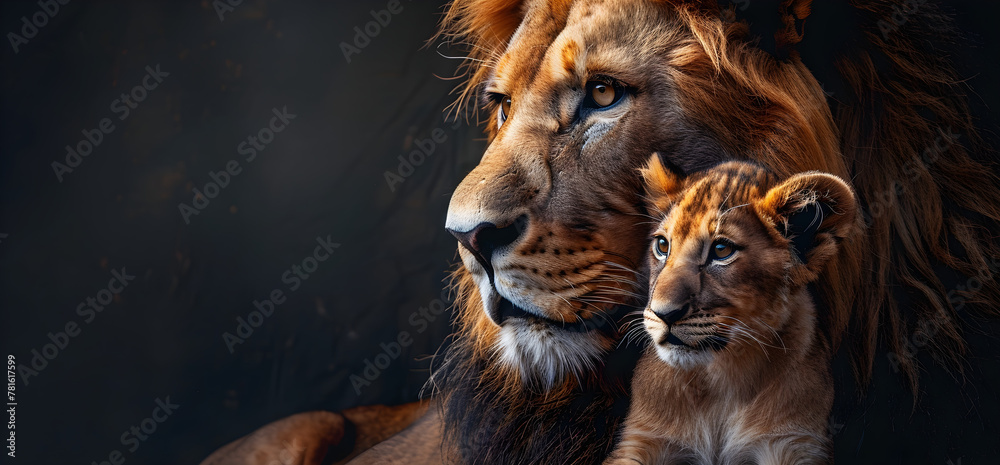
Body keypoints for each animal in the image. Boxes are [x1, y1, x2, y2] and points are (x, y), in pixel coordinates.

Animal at [605, 157, 860, 465]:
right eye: (662, 245)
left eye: (722, 250)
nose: (663, 314)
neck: (721, 383)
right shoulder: (644, 438)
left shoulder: (793, 440)